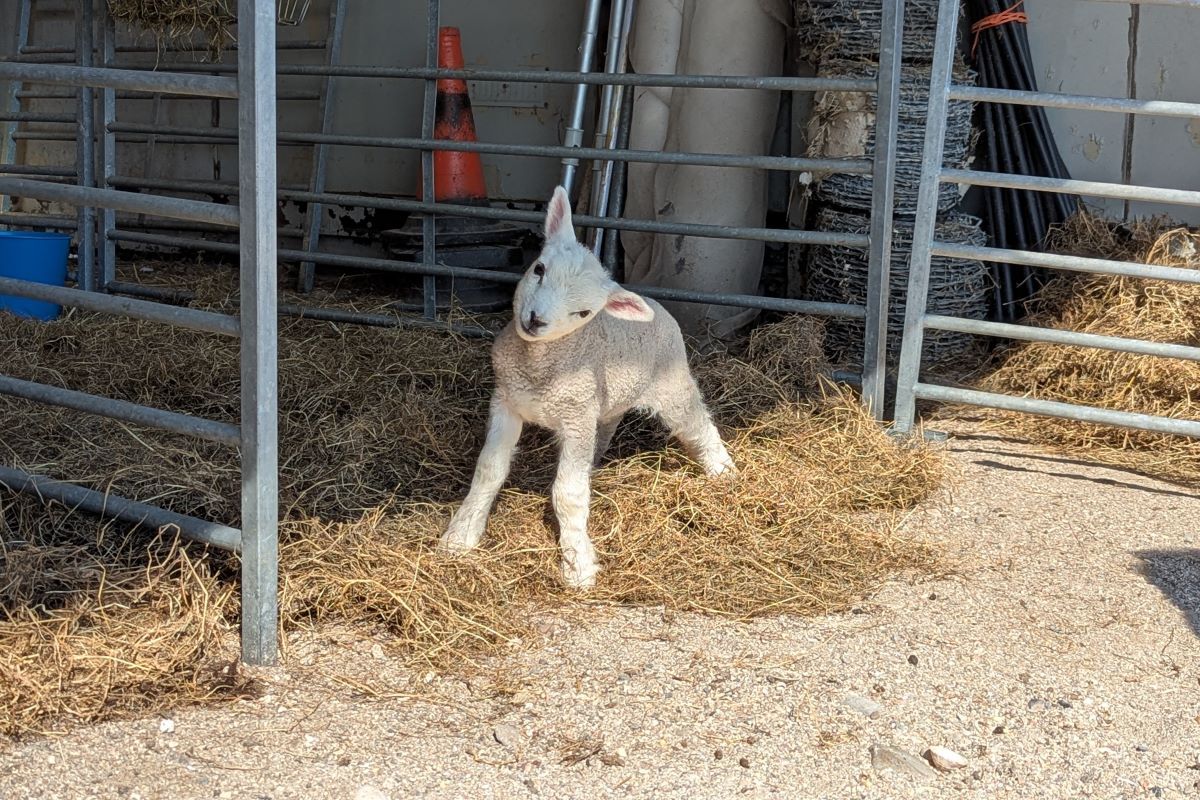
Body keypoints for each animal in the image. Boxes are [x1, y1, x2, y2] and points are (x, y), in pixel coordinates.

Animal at [438, 185, 735, 588]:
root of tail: (652, 301)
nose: (535, 320)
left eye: (582, 313)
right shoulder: (506, 401)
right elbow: (490, 469)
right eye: (539, 269)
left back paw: (722, 468)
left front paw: (577, 563)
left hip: (671, 384)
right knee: (608, 426)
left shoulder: (576, 415)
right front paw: (462, 533)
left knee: (698, 424)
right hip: (608, 399)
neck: (539, 368)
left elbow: (569, 492)